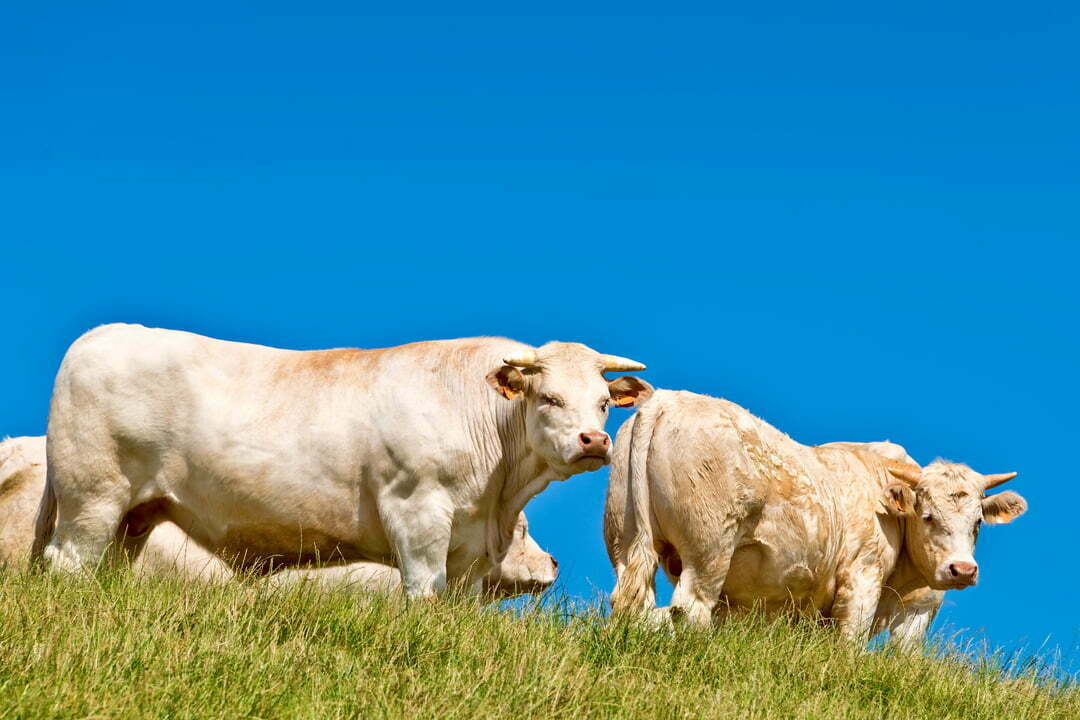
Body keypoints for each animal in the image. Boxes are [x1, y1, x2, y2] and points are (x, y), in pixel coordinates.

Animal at [605, 390, 1026, 640]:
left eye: (978, 522)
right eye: (927, 516)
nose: (962, 570)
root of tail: (667, 400)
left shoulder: (918, 610)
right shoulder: (862, 580)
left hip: (626, 541)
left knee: (635, 604)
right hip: (708, 552)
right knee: (689, 609)